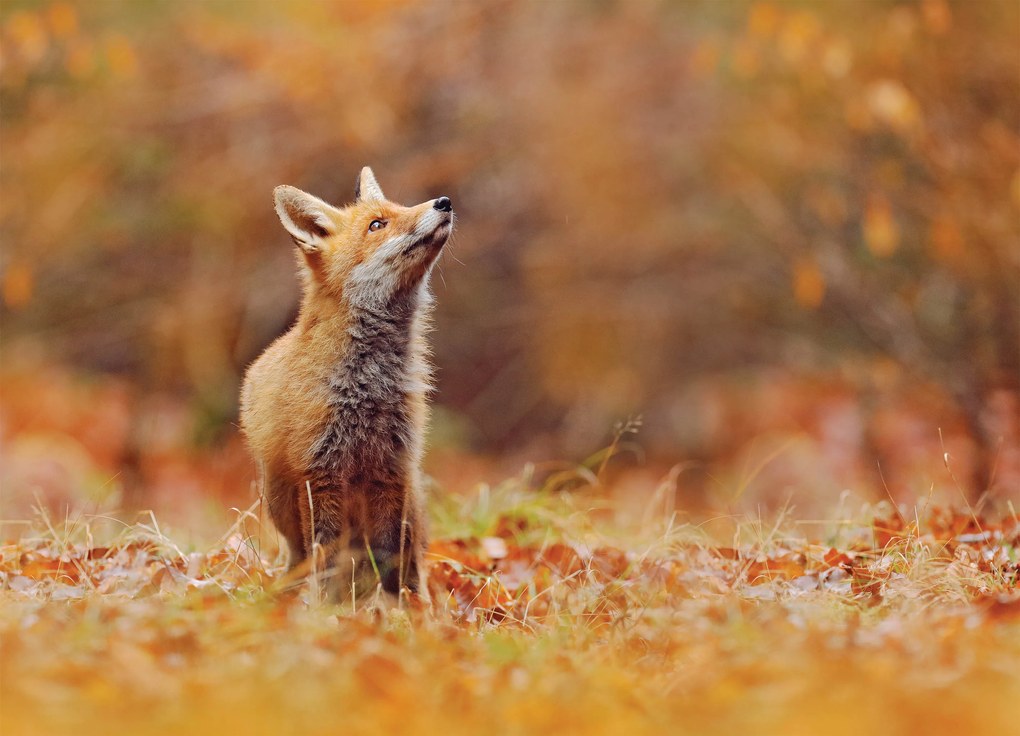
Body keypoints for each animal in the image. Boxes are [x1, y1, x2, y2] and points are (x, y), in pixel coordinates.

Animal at [240, 166, 452, 595]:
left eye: (400, 206)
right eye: (377, 225)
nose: (444, 202)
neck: (368, 389)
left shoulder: (392, 469)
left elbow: (391, 558)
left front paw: (396, 609)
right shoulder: (319, 474)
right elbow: (325, 559)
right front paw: (327, 607)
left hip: (413, 499)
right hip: (280, 501)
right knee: (302, 556)